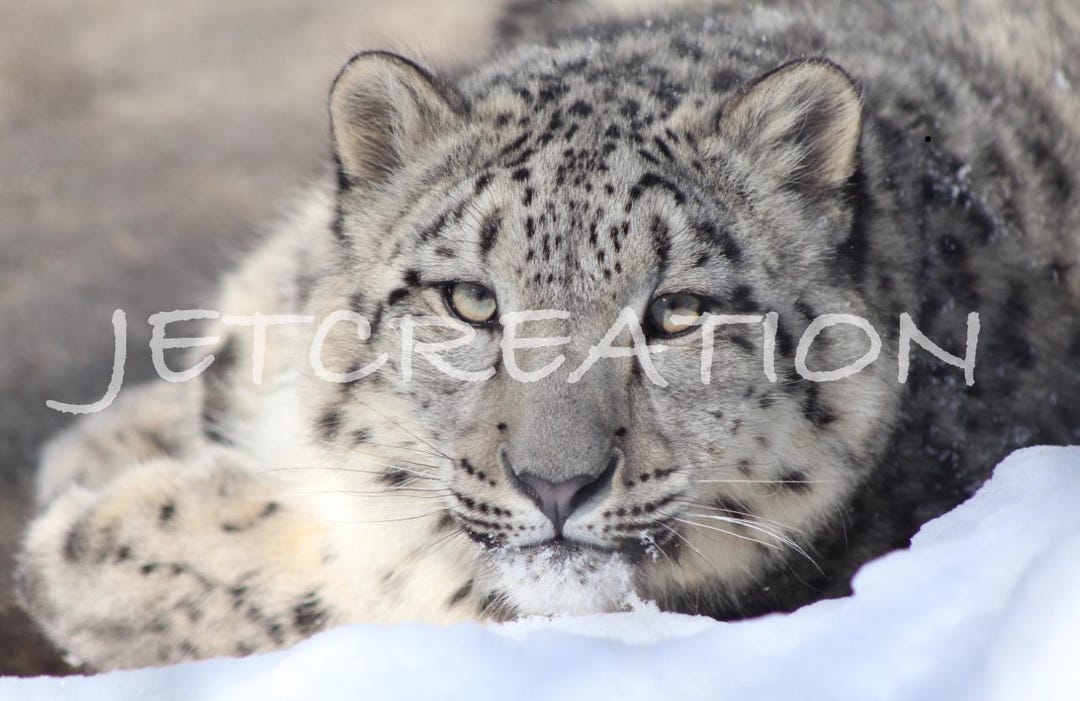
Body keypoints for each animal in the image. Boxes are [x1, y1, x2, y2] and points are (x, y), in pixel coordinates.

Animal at [15, 0, 1080, 671]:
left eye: (676, 311)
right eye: (471, 301)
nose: (557, 483)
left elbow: (363, 584)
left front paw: (87, 540)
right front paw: (105, 446)